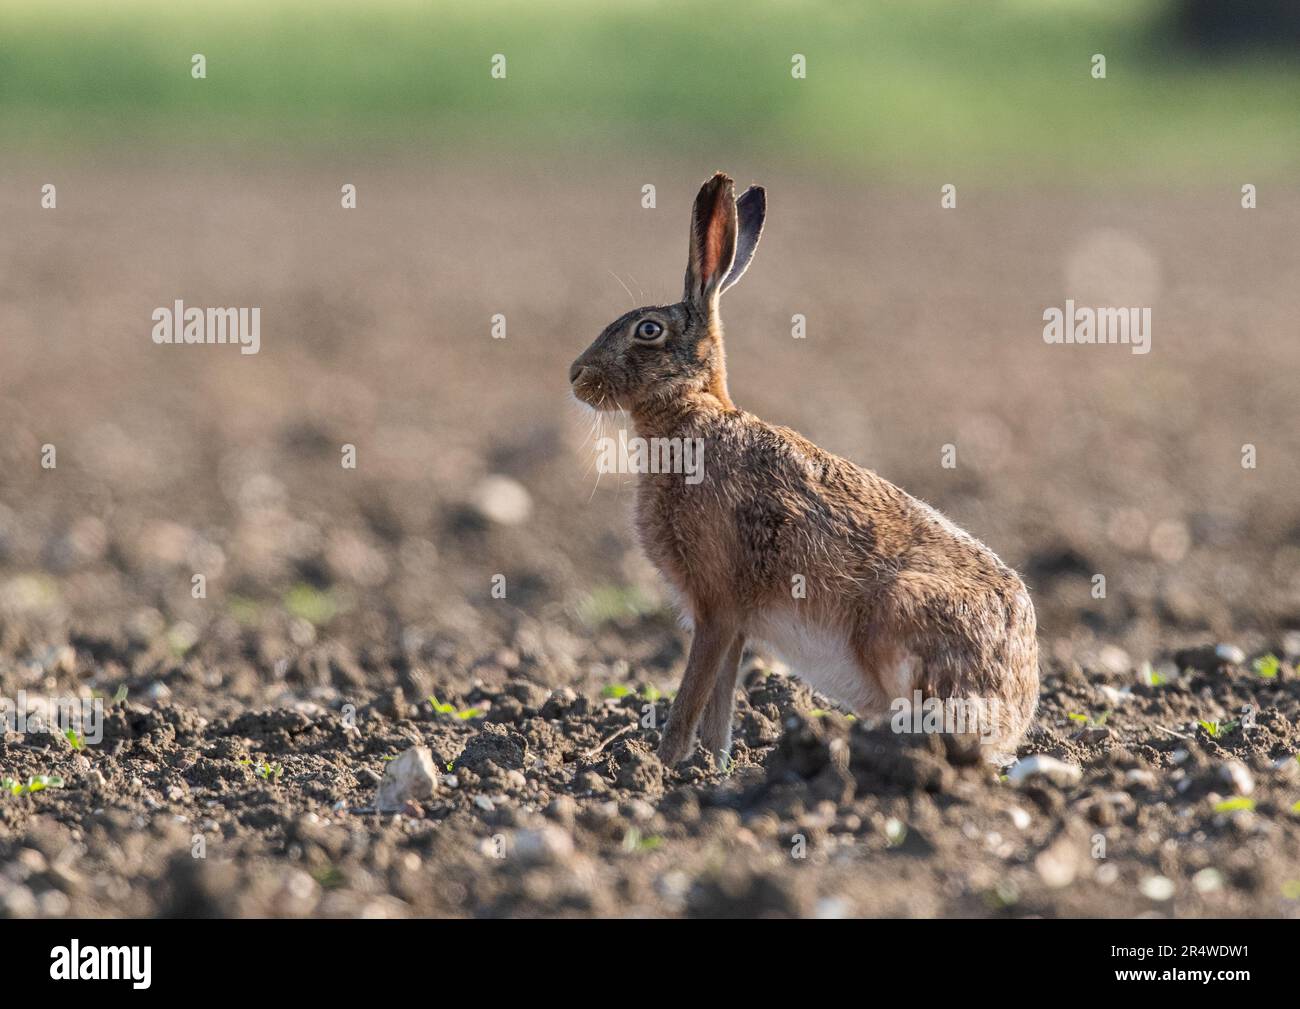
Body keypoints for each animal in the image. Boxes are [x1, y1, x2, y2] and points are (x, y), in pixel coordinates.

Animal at [569, 172, 1039, 769]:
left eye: (647, 330)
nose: (575, 375)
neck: (696, 413)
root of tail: (1016, 711)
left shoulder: (717, 607)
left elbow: (691, 697)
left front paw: (663, 764)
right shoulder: (732, 624)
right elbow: (719, 703)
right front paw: (713, 767)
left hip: (900, 623)